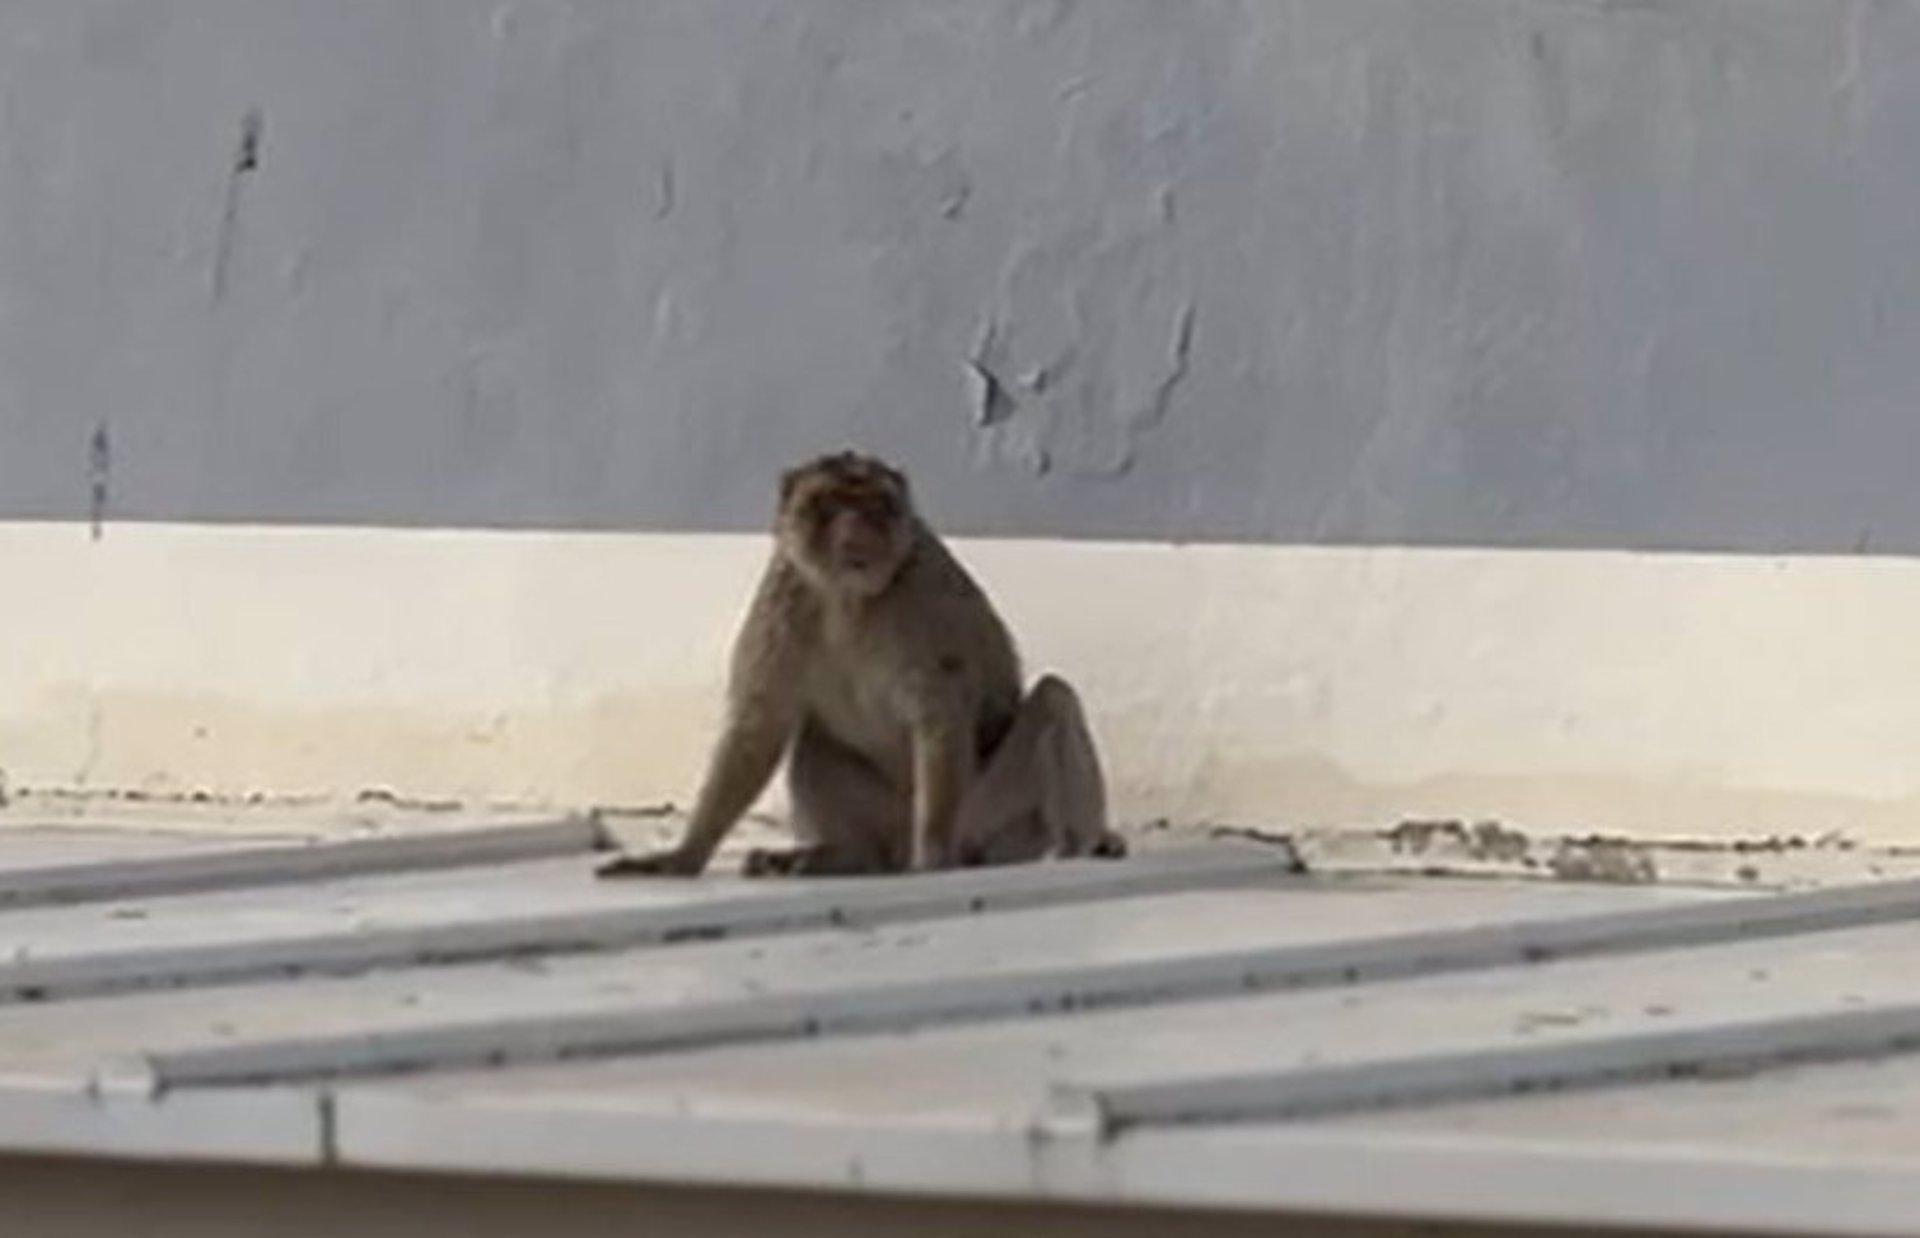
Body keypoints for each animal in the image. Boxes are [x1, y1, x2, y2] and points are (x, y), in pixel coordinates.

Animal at [596, 450, 1125, 879]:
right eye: (827, 504)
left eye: (875, 505)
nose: (855, 529)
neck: (849, 600)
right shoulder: (785, 594)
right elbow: (759, 725)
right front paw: (683, 857)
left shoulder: (923, 600)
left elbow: (940, 713)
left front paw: (932, 855)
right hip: (889, 819)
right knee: (812, 741)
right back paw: (840, 856)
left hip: (987, 816)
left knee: (1054, 698)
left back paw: (1065, 848)